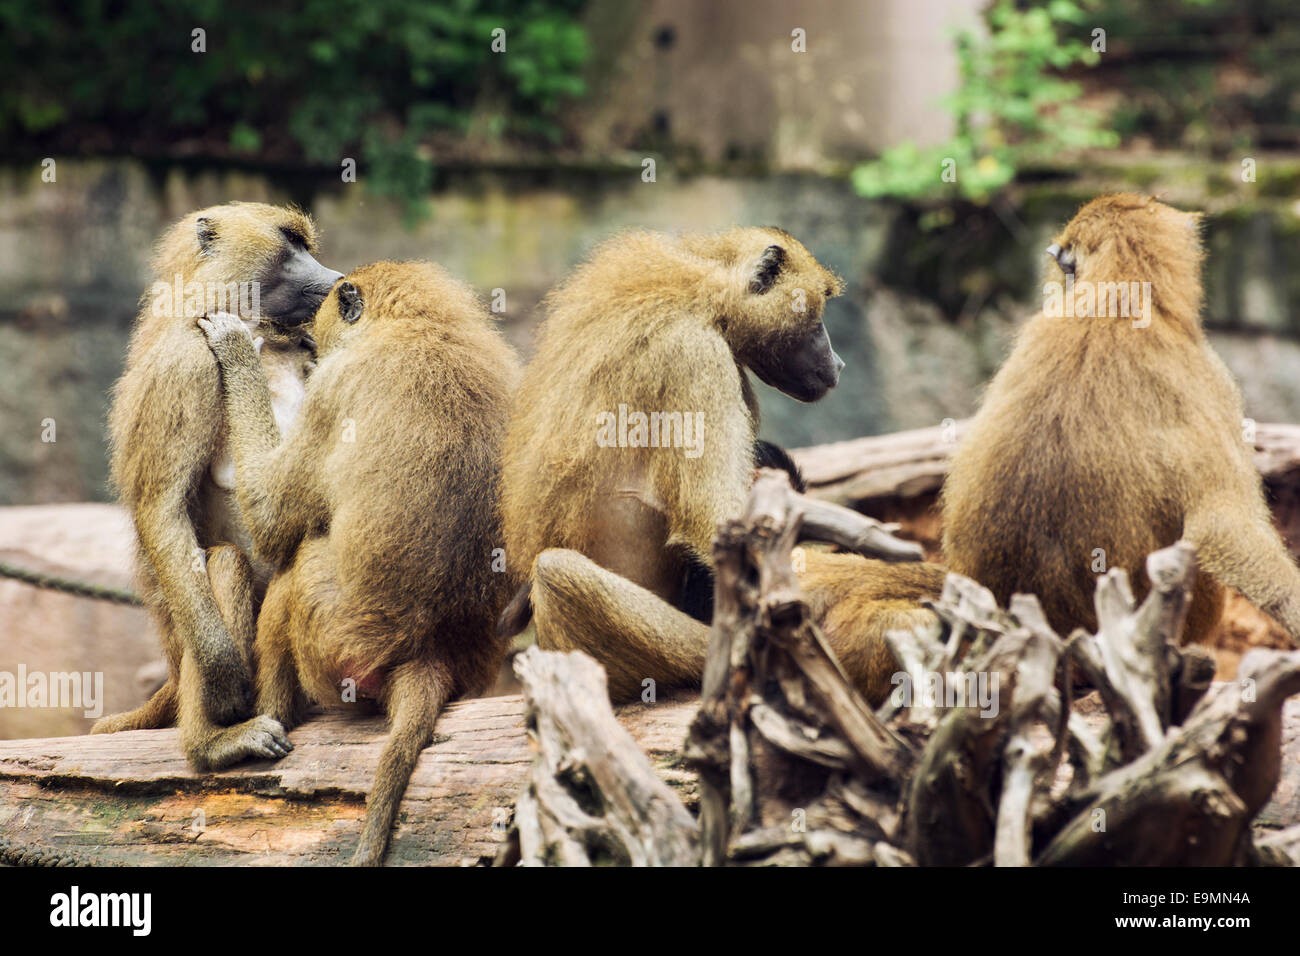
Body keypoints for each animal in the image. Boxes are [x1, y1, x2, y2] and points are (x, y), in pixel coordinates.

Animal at [91, 202, 342, 773]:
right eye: (290, 244)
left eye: (305, 244)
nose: (337, 278)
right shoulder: (188, 362)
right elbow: (161, 508)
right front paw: (223, 676)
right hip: (185, 641)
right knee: (224, 563)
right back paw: (214, 743)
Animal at [197, 260, 519, 865]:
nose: (308, 347)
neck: (419, 325)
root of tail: (431, 651)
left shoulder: (332, 390)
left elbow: (272, 521)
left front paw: (236, 348)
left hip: (334, 642)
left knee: (295, 569)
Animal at [498, 226, 945, 703]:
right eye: (816, 315)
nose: (838, 363)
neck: (701, 292)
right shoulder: (696, 358)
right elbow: (722, 525)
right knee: (556, 574)